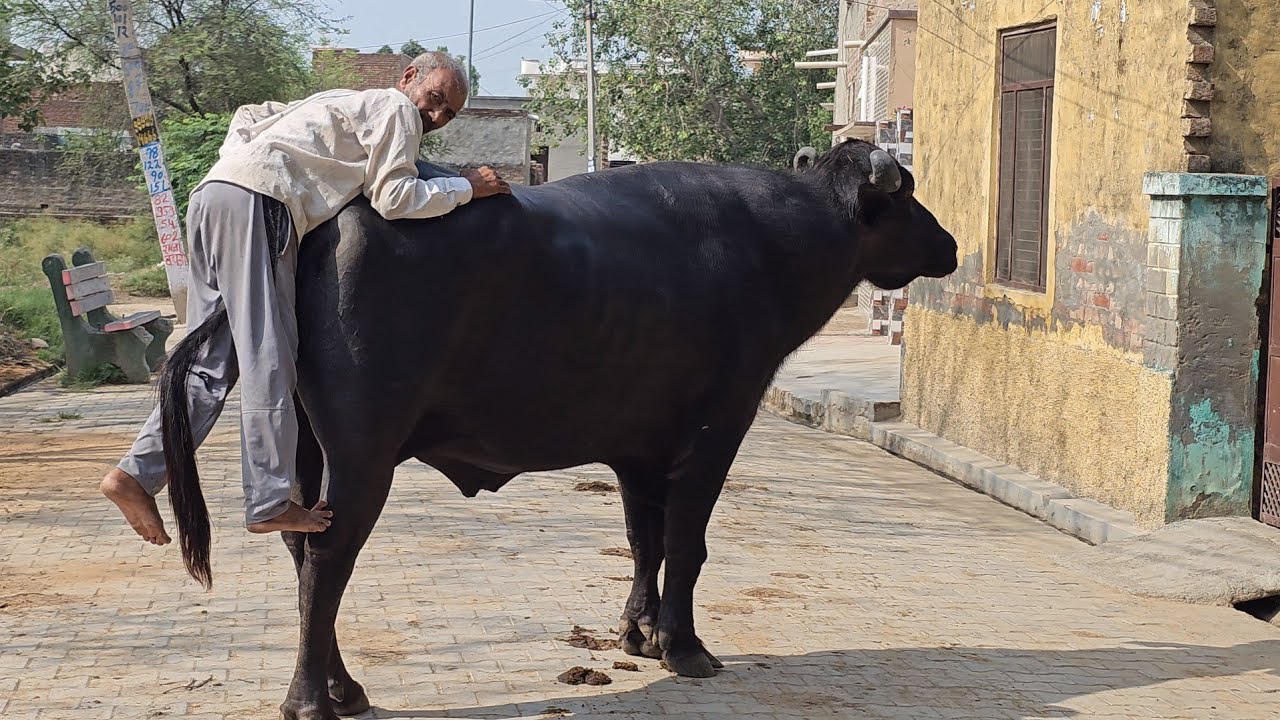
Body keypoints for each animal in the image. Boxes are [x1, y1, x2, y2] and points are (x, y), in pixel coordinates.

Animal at [154, 138, 957, 719]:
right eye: (909, 193)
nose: (949, 246)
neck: (771, 247)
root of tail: (320, 227)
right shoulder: (718, 426)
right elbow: (686, 544)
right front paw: (684, 647)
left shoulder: (638, 449)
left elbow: (644, 540)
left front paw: (637, 633)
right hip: (363, 450)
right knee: (328, 558)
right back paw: (312, 701)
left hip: (304, 443)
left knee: (300, 547)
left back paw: (344, 689)